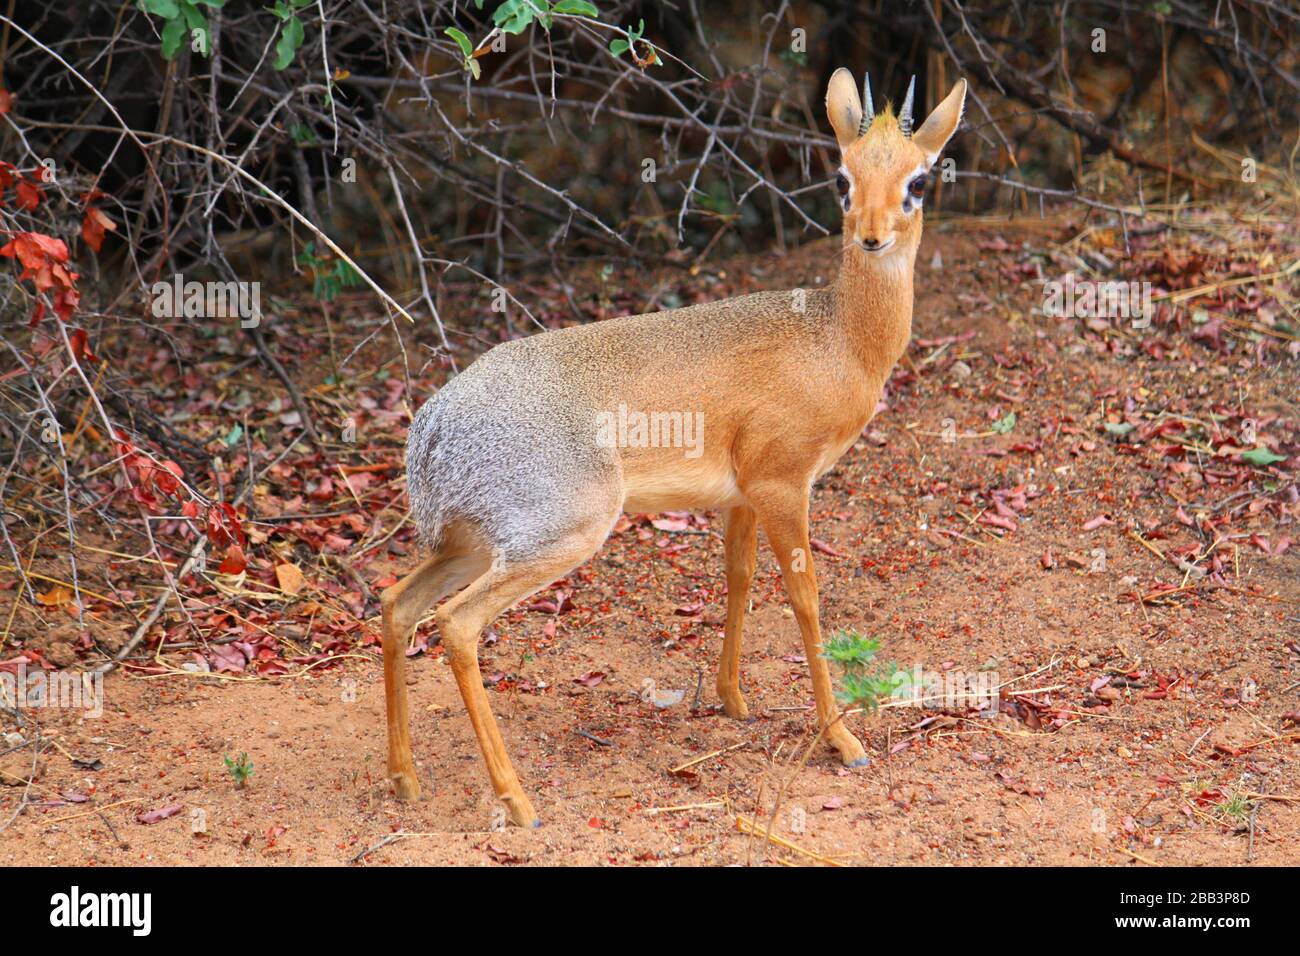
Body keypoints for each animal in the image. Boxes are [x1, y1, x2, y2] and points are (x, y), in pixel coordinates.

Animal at [382, 69, 968, 827]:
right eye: (841, 176)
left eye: (919, 179)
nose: (870, 236)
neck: (839, 340)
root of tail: (432, 427)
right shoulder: (785, 483)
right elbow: (806, 600)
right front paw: (843, 739)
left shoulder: (741, 496)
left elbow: (739, 579)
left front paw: (733, 699)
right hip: (557, 535)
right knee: (455, 625)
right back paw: (517, 799)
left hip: (471, 542)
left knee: (396, 604)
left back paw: (405, 779)